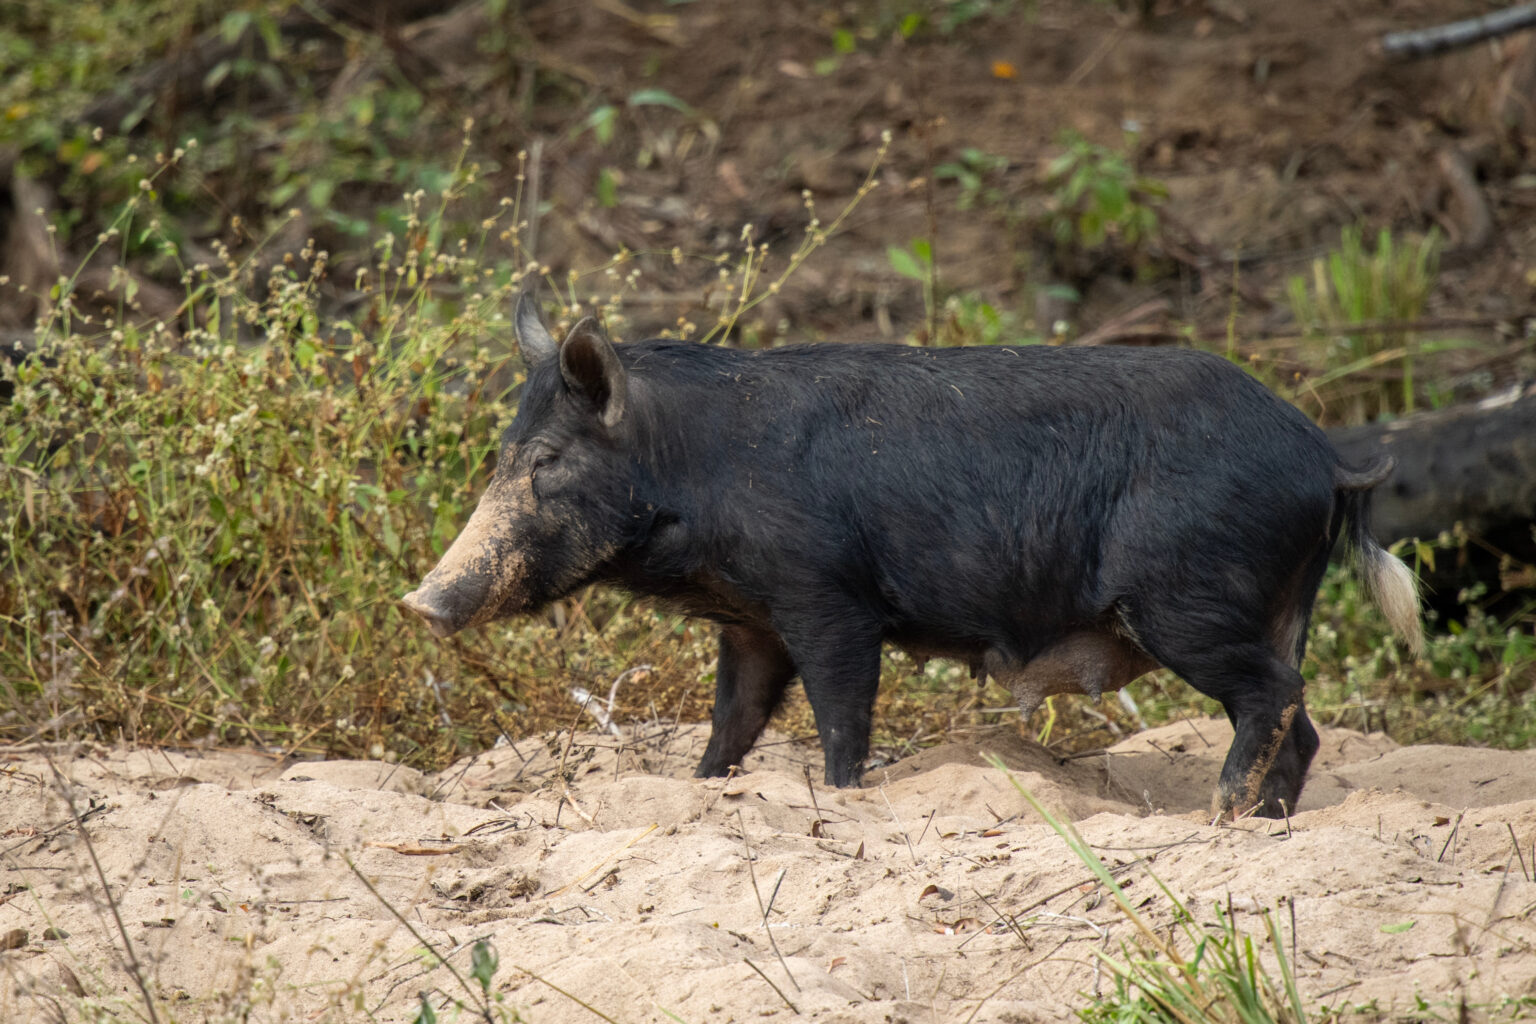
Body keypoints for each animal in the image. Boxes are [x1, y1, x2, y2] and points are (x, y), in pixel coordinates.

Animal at [401, 293, 1422, 818]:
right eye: (505, 451)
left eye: (546, 460)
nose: (417, 604)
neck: (694, 469)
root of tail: (1324, 455)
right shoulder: (753, 622)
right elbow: (733, 720)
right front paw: (705, 788)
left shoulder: (828, 597)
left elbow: (842, 717)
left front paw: (845, 796)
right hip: (1277, 602)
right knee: (1303, 720)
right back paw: (1262, 824)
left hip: (1191, 600)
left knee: (1272, 698)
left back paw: (1219, 814)